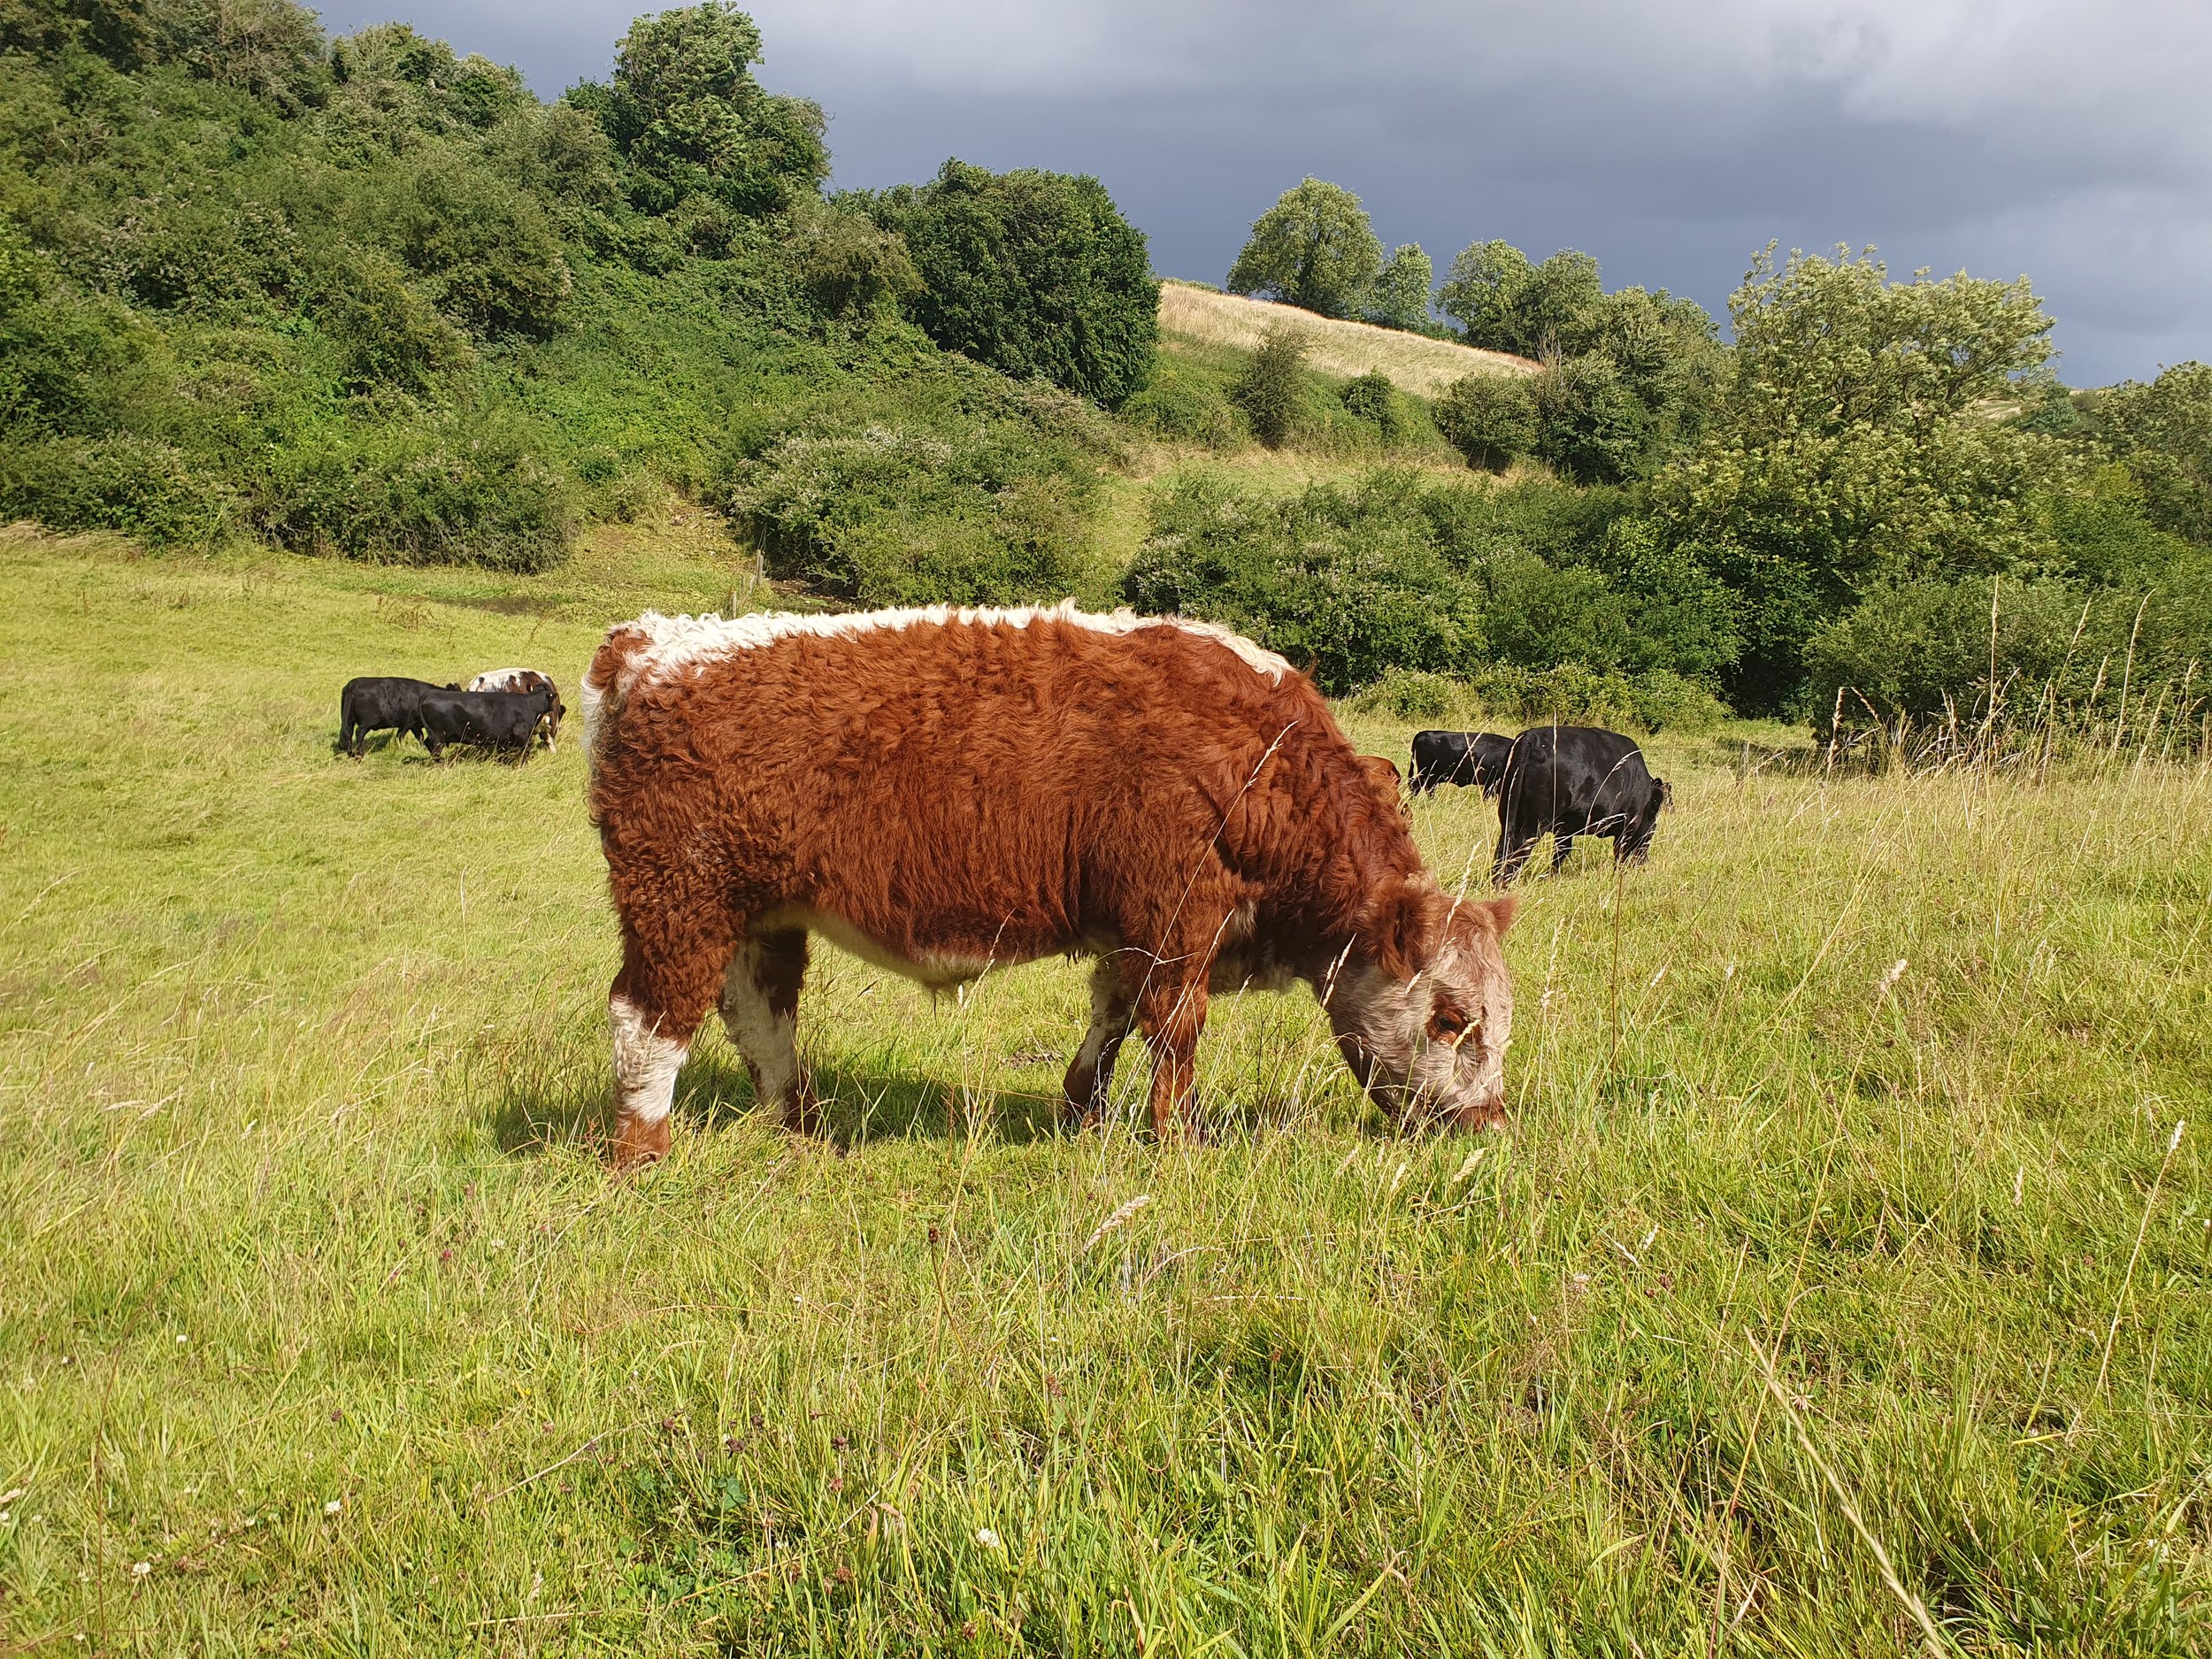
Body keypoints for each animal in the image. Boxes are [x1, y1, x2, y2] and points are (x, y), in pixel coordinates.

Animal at [338, 676, 454, 758]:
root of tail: (353, 683)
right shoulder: (408, 723)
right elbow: (400, 735)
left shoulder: (415, 725)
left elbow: (420, 737)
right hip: (366, 722)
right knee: (359, 733)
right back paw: (360, 753)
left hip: (348, 719)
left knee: (348, 733)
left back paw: (350, 753)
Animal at [418, 686, 556, 761]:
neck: (528, 704)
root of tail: (429, 693)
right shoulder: (522, 735)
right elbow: (525, 753)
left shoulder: (503, 739)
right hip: (438, 737)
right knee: (435, 751)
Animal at [582, 602, 1519, 1169]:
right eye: (1451, 1019)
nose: (1492, 1124)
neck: (1262, 759)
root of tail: (654, 644)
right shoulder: (1175, 916)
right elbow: (1174, 1032)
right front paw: (1178, 1141)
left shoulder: (1132, 927)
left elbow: (1112, 1014)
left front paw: (1083, 1110)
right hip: (679, 897)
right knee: (649, 1018)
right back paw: (644, 1149)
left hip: (759, 912)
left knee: (760, 1012)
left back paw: (801, 1126)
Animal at [1491, 724, 1669, 885]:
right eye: (1652, 829)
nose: (1643, 862)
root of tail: (1532, 736)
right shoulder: (1629, 822)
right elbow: (1620, 854)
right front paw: (1618, 875)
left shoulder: (1564, 829)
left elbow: (1561, 853)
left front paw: (1552, 878)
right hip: (1537, 821)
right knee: (1519, 850)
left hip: (1508, 812)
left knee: (1503, 848)